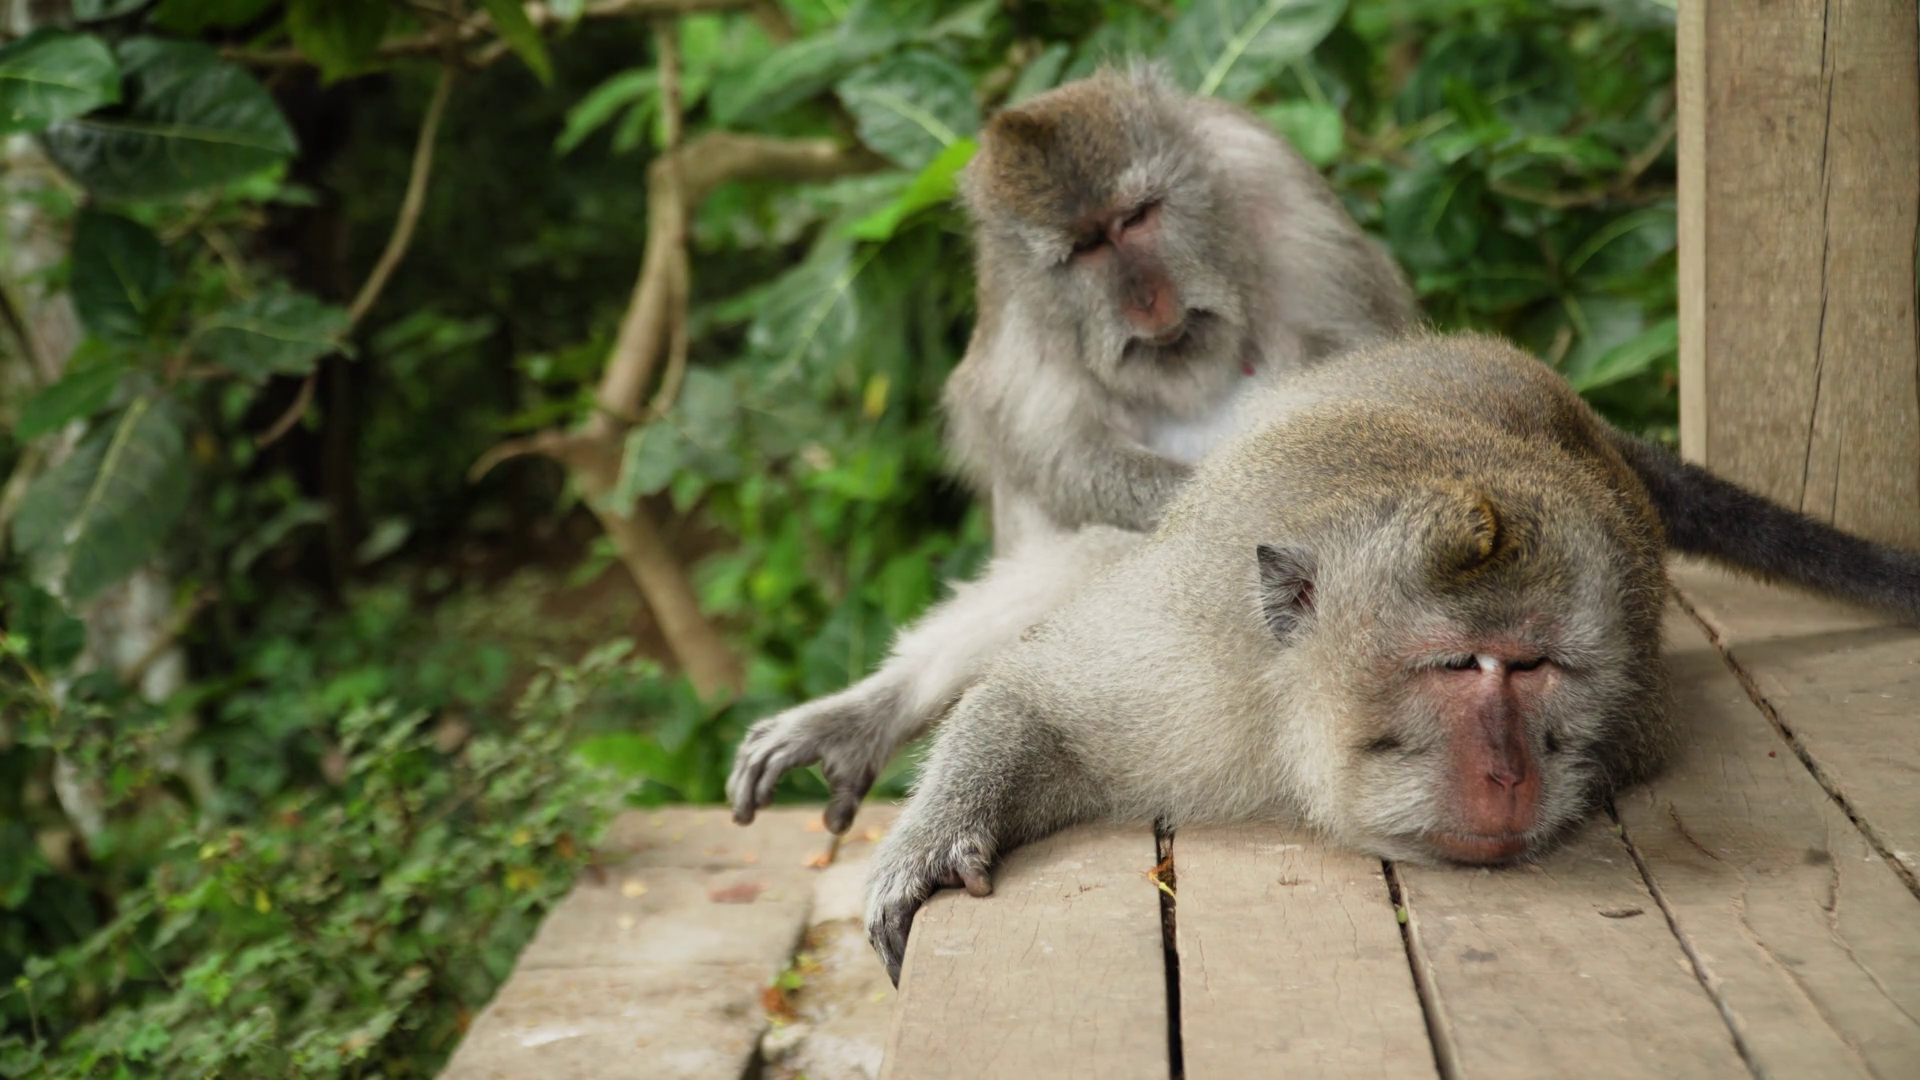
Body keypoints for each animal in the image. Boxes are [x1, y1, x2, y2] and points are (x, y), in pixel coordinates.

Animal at [728, 66, 1417, 832]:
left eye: (1138, 217)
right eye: (1085, 249)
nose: (1149, 301)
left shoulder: (1275, 183)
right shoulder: (1016, 292)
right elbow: (1062, 452)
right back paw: (873, 711)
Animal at [863, 332, 1920, 984]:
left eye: (1533, 667)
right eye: (1453, 668)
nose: (1508, 770)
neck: (1293, 715)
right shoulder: (1200, 664)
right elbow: (1039, 705)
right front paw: (933, 845)